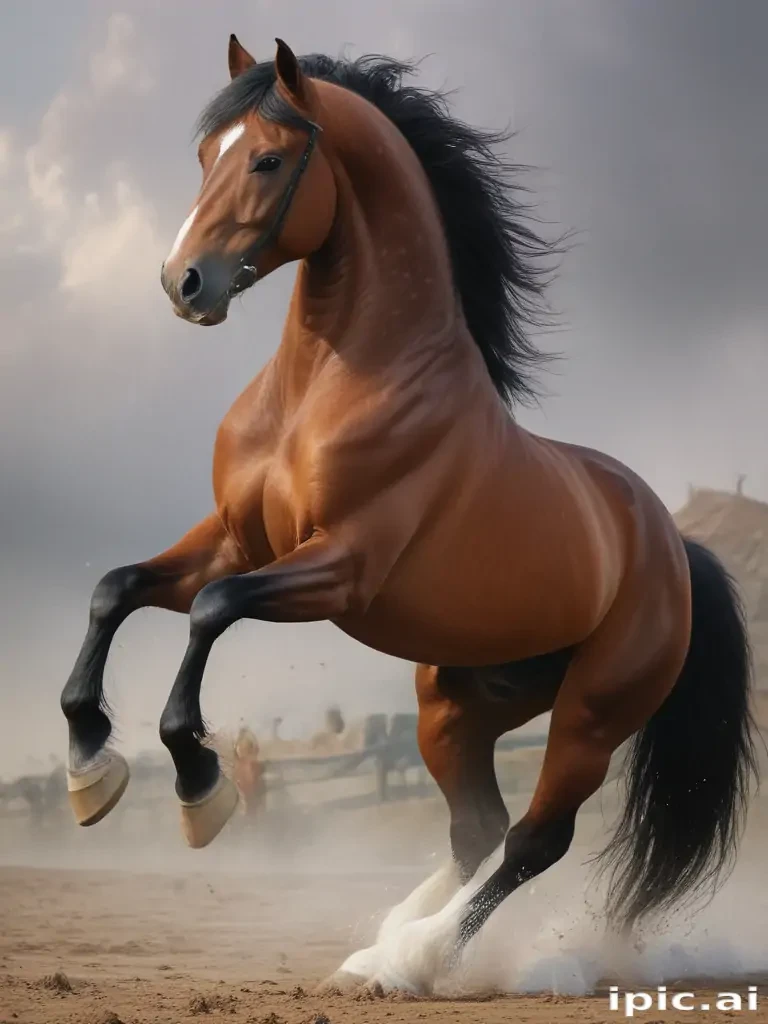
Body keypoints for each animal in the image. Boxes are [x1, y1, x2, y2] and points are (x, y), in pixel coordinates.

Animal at [59, 36, 757, 994]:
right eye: (206, 155)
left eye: (268, 159)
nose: (183, 283)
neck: (327, 387)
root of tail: (672, 546)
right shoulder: (233, 539)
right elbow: (117, 588)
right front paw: (90, 770)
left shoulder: (340, 568)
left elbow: (209, 611)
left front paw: (200, 786)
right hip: (456, 705)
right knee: (477, 829)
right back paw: (381, 944)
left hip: (592, 715)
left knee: (532, 840)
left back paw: (412, 958)